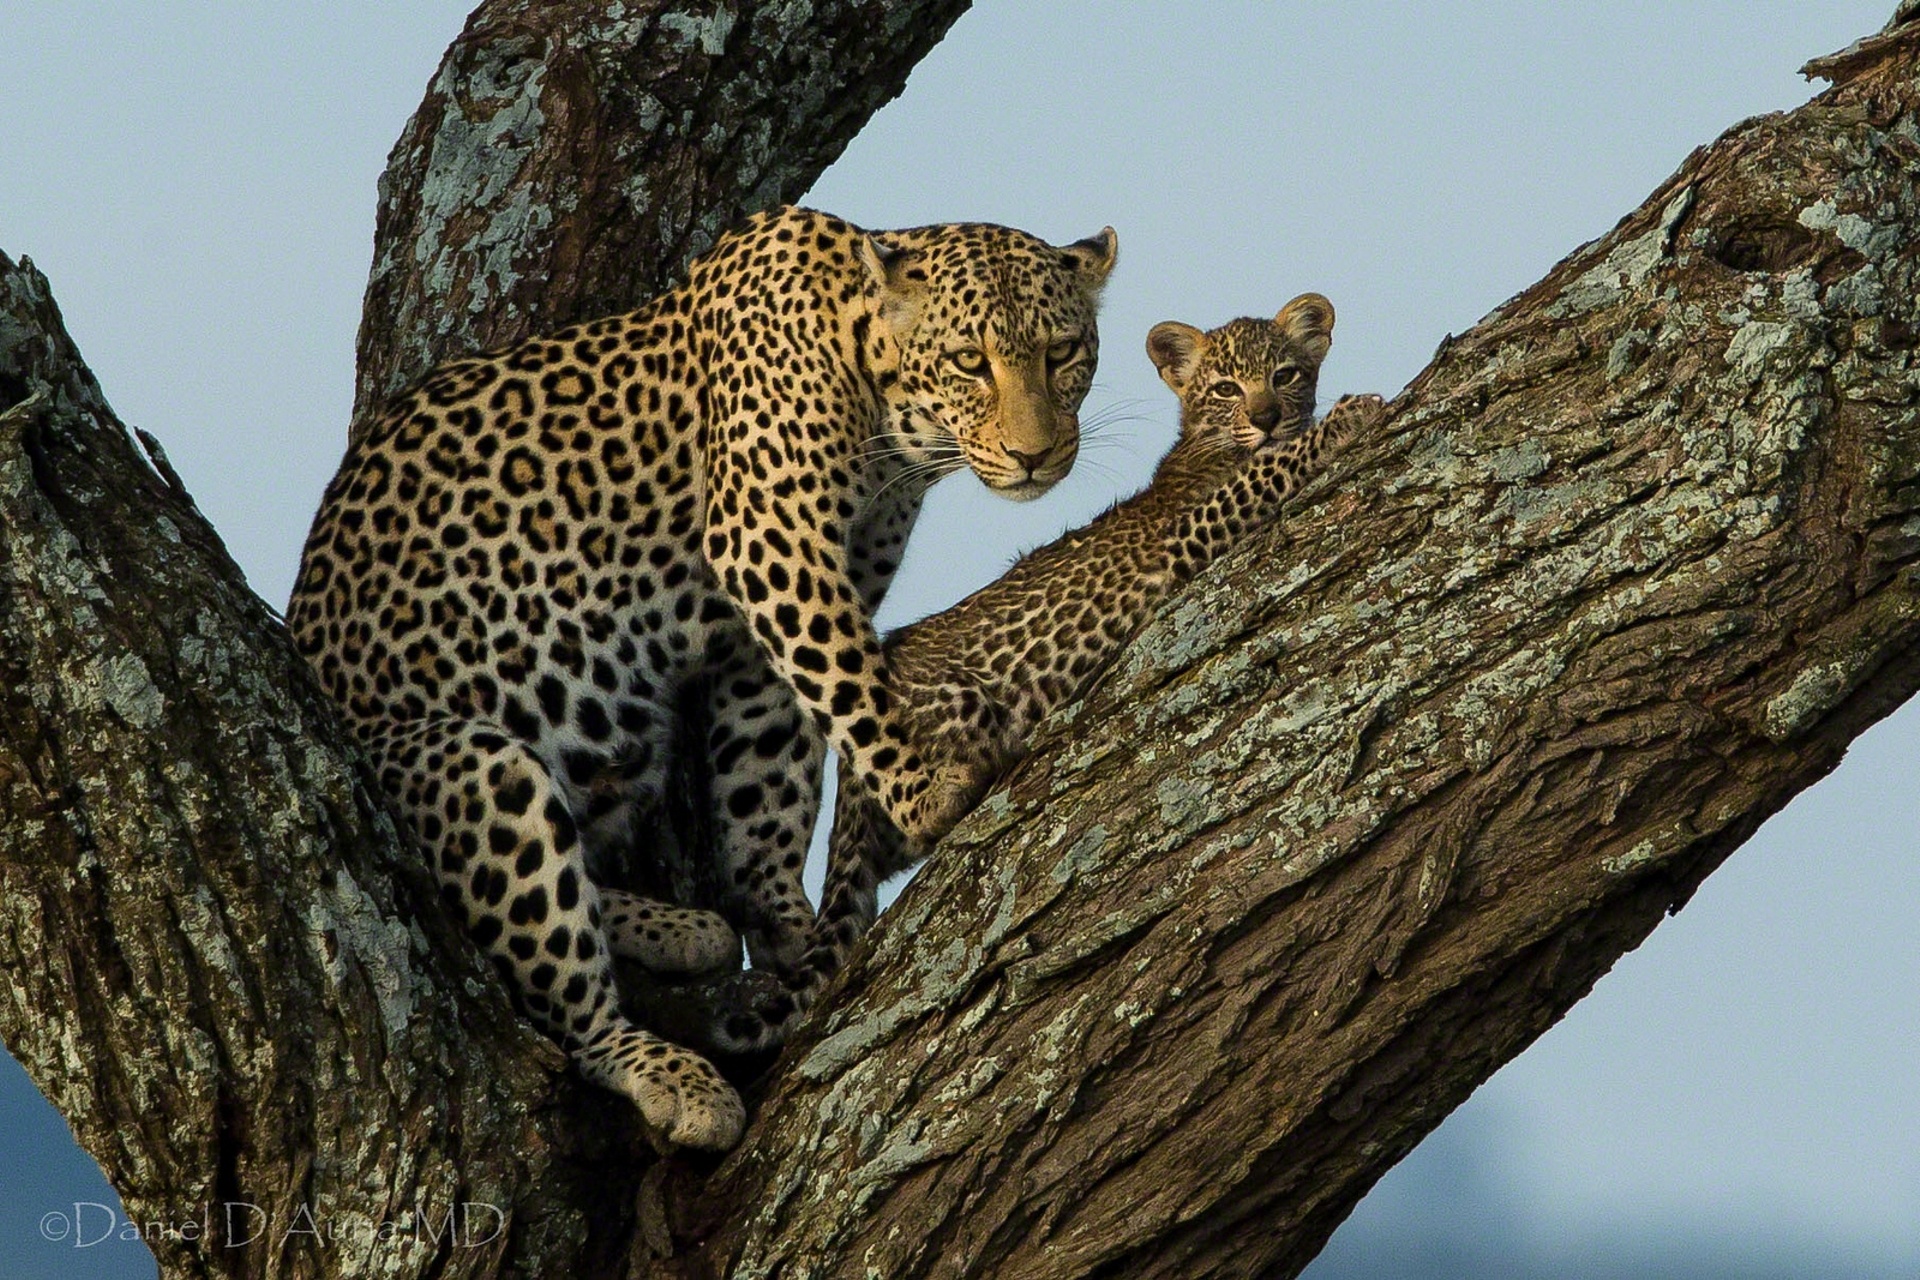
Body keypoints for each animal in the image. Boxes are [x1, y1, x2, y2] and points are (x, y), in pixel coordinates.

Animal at [286, 204, 1118, 1152]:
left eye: (1063, 352)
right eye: (971, 361)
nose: (1037, 455)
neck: (886, 416)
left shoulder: (765, 633)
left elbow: (771, 778)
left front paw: (788, 925)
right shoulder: (771, 541)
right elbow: (853, 681)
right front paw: (919, 788)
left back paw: (681, 929)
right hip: (473, 762)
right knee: (568, 996)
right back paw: (673, 1074)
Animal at [651, 295, 1389, 1058]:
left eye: (1285, 374)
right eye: (1225, 387)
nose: (1268, 415)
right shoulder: (1191, 529)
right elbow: (1267, 473)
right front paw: (1350, 416)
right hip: (956, 709)